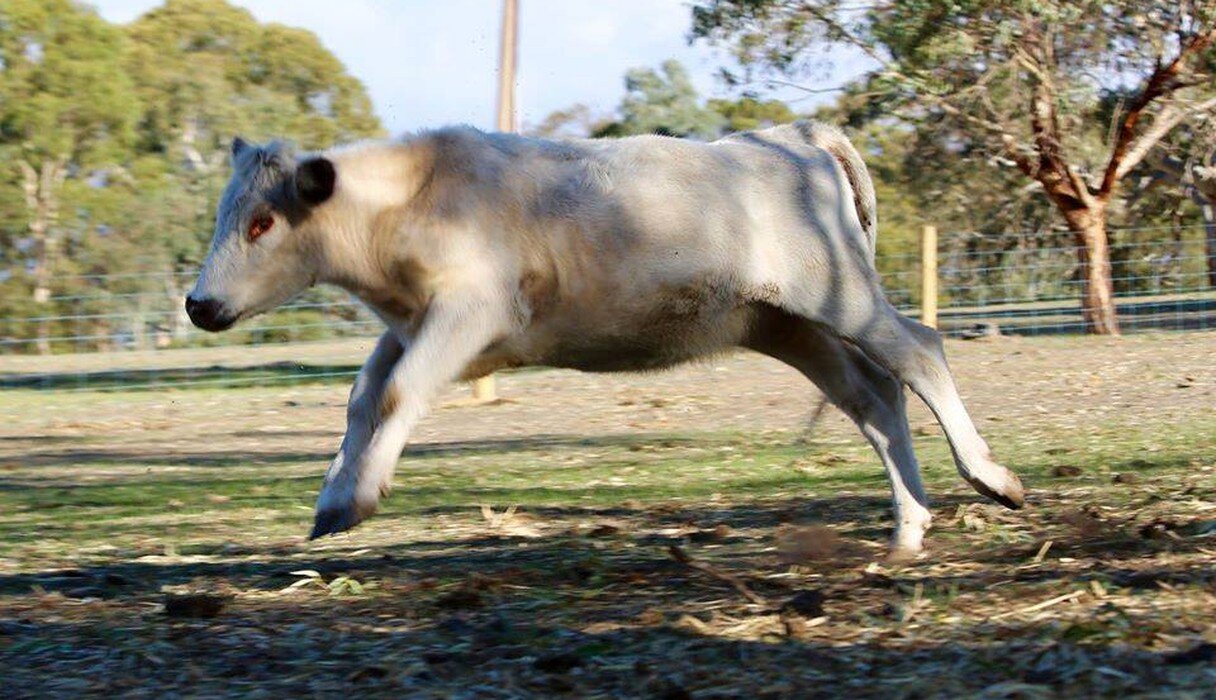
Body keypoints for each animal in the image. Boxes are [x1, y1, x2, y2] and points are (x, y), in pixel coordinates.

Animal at [186, 121, 1024, 558]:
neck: (413, 197)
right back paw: (909, 528)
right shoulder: (414, 327)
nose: (199, 304)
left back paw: (990, 478)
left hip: (840, 294)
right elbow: (364, 398)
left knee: (918, 351)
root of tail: (789, 136)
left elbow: (396, 394)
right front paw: (332, 500)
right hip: (785, 324)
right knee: (872, 395)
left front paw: (360, 495)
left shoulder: (469, 313)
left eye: (262, 223)